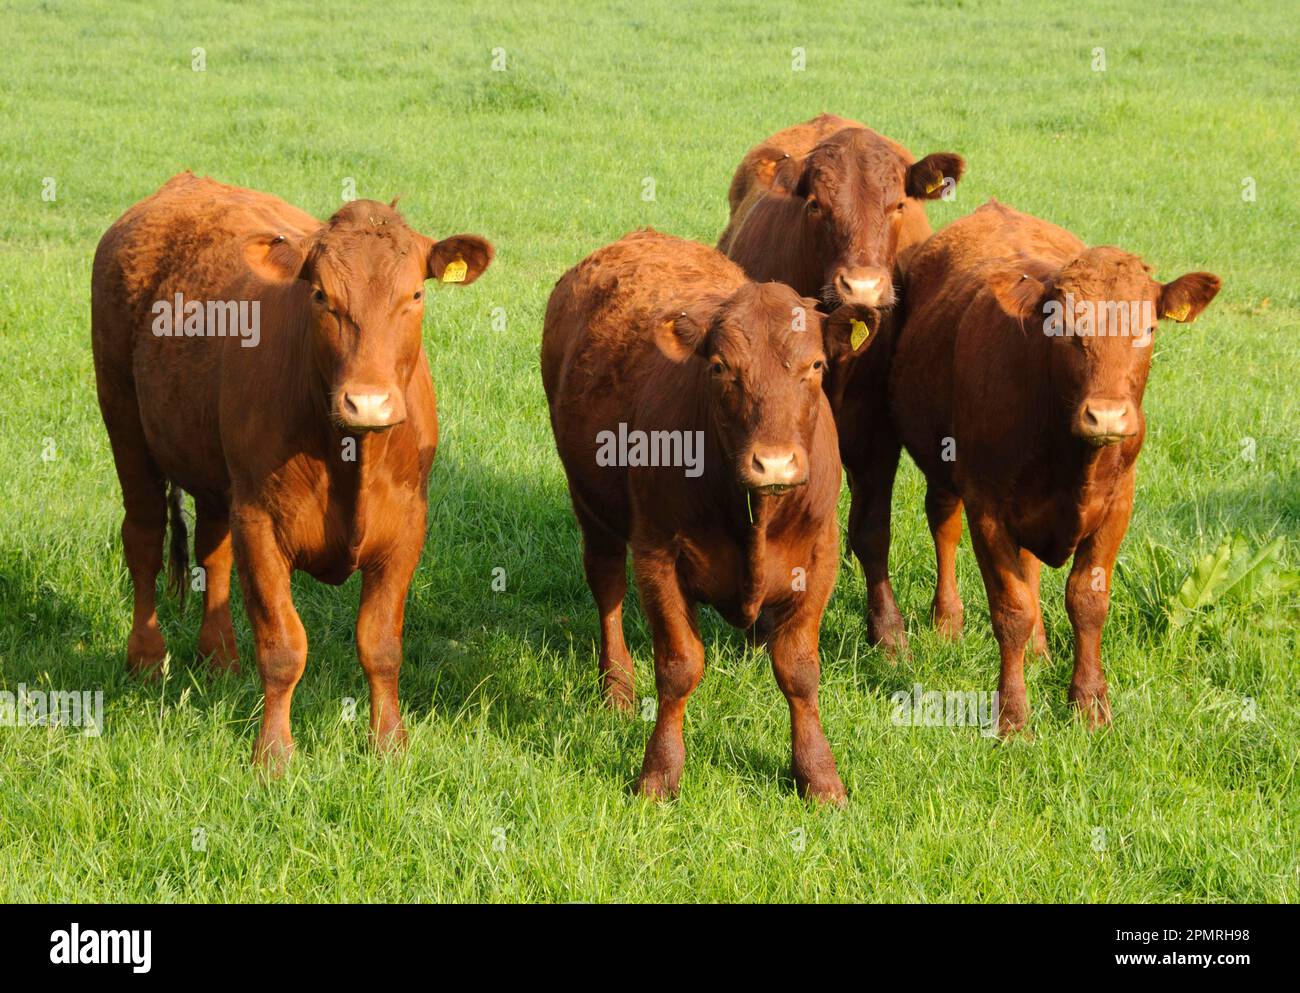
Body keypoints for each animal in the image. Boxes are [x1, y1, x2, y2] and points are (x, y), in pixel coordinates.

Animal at [91, 172, 493, 769]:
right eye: (321, 296)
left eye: (416, 295)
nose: (367, 403)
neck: (351, 456)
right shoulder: (260, 520)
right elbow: (283, 646)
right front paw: (274, 756)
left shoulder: (407, 524)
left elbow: (381, 644)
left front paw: (389, 744)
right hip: (124, 422)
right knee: (142, 536)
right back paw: (145, 657)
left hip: (216, 472)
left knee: (212, 549)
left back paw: (219, 658)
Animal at [541, 229, 863, 802]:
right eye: (720, 368)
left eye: (815, 366)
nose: (774, 462)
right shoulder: (657, 554)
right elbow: (679, 666)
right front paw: (659, 772)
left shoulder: (821, 553)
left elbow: (799, 670)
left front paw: (818, 776)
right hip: (591, 505)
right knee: (606, 587)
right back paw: (616, 688)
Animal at [718, 114, 964, 649]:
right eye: (816, 205)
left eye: (898, 205)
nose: (862, 287)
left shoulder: (878, 434)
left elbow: (872, 531)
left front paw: (888, 631)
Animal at [866, 200, 1220, 732]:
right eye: (1065, 327)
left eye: (1148, 328)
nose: (1107, 415)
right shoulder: (987, 506)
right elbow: (1011, 610)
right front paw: (1012, 717)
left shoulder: (1118, 504)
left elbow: (1086, 602)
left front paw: (1090, 706)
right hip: (940, 463)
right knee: (943, 526)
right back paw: (948, 622)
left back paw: (1039, 652)